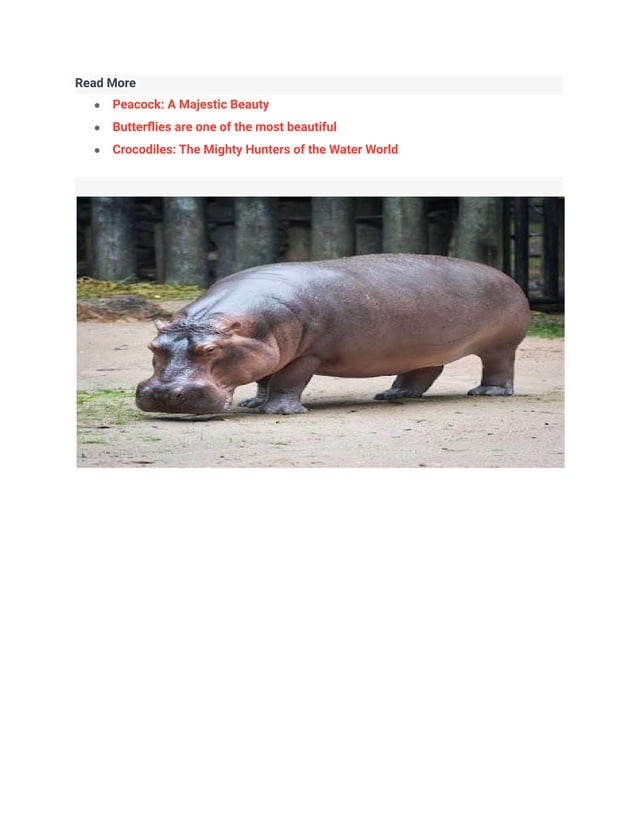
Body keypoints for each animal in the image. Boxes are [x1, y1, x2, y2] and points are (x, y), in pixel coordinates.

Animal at [135, 253, 530, 415]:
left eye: (211, 350)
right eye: (153, 346)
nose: (163, 394)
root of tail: (505, 275)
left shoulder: (307, 355)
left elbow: (287, 380)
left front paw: (278, 411)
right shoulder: (266, 349)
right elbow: (264, 377)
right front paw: (254, 403)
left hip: (500, 343)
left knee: (498, 366)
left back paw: (488, 392)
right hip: (420, 347)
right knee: (424, 370)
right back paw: (391, 394)